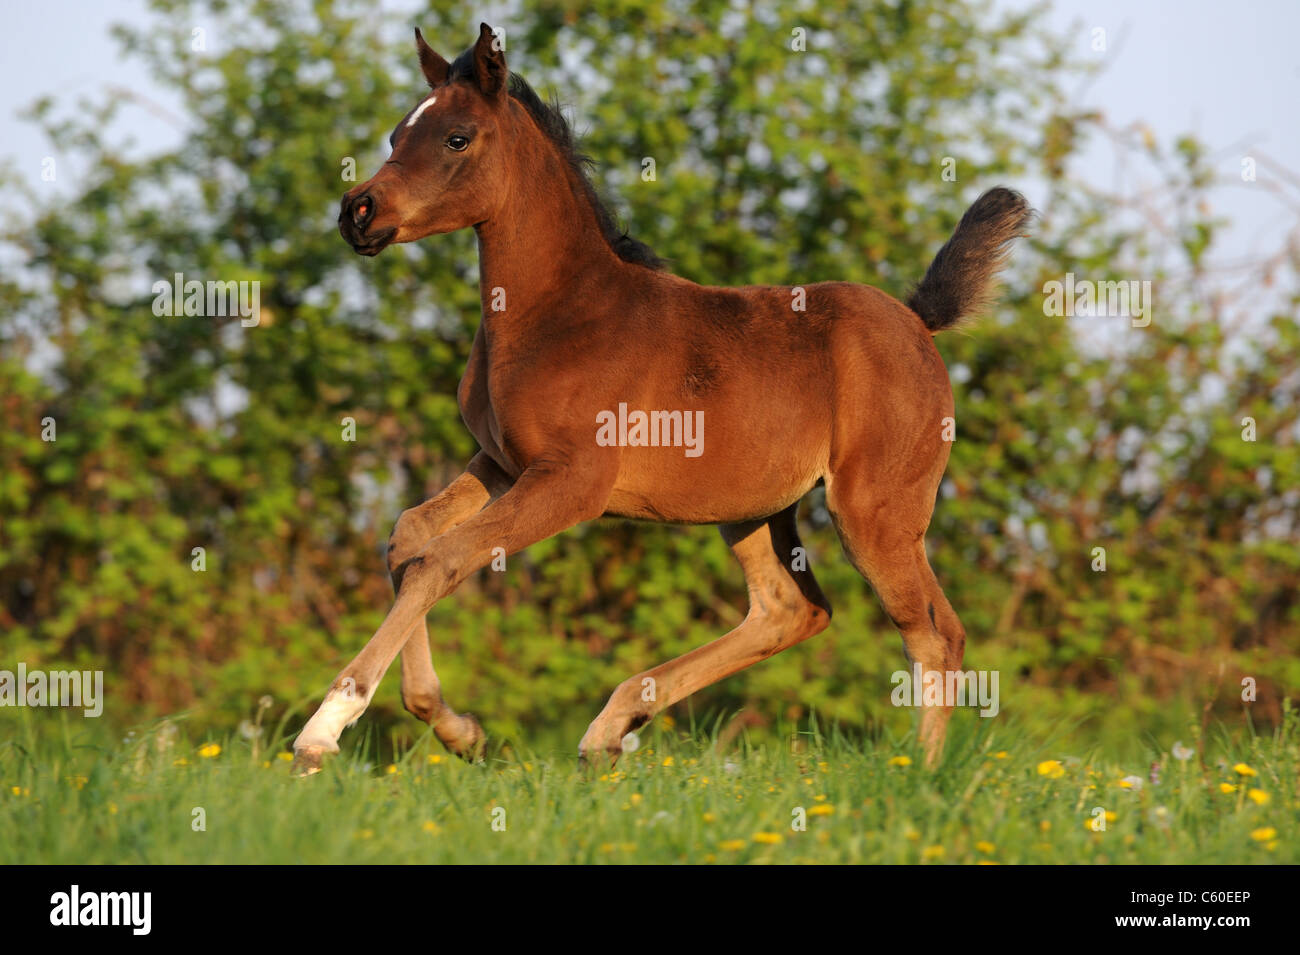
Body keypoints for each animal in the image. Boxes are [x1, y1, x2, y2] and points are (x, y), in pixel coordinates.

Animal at [292, 22, 1032, 774]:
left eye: (456, 138)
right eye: (395, 134)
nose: (358, 211)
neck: (554, 313)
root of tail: (917, 320)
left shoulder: (572, 482)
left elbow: (442, 559)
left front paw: (325, 729)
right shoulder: (500, 462)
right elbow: (411, 537)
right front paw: (454, 727)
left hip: (874, 510)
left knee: (934, 632)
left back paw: (921, 775)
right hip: (754, 509)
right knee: (791, 610)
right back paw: (611, 725)